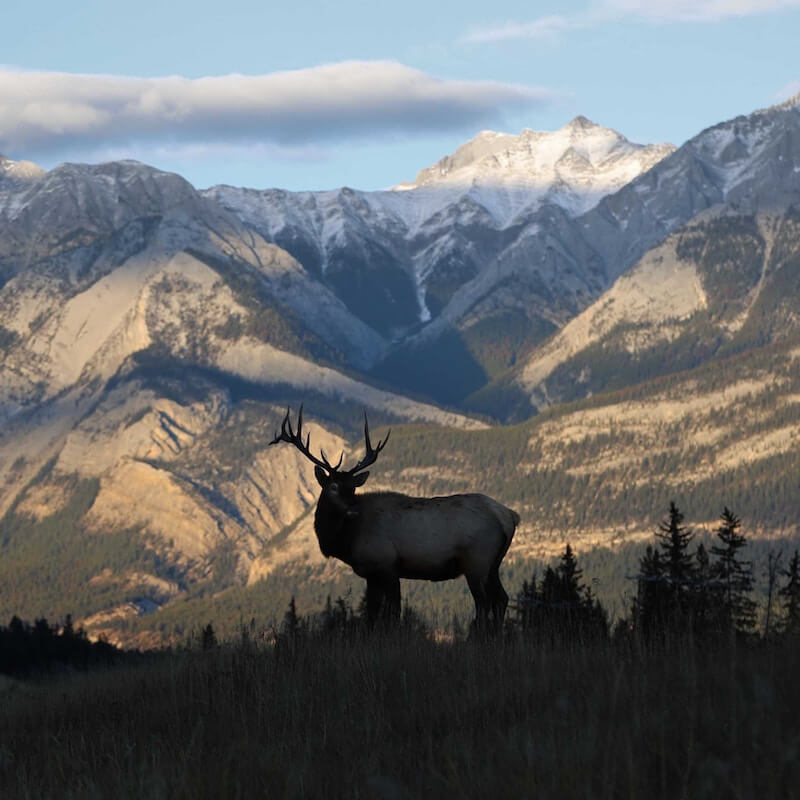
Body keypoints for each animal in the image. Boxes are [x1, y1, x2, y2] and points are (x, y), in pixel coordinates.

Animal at [269, 406, 519, 633]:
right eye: (333, 487)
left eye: (353, 488)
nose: (352, 509)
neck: (346, 543)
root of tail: (509, 516)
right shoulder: (372, 574)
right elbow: (372, 614)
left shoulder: (387, 564)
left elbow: (393, 613)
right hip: (493, 563)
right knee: (501, 598)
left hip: (476, 560)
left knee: (483, 603)